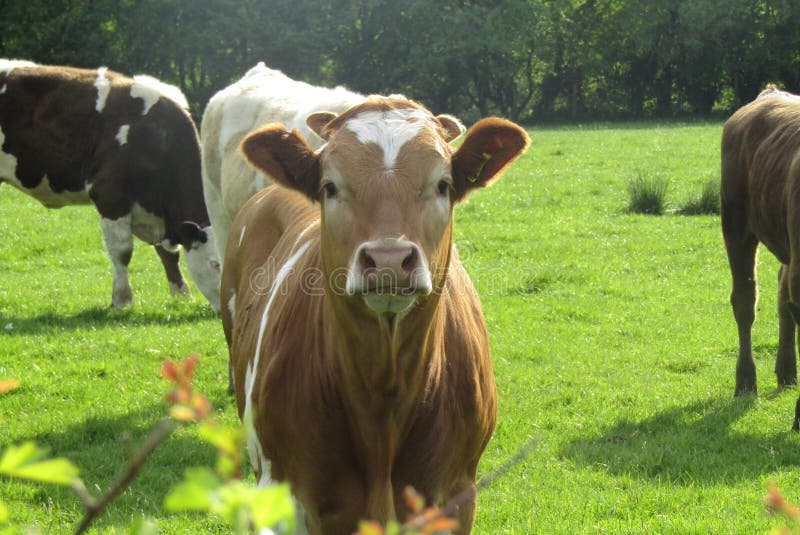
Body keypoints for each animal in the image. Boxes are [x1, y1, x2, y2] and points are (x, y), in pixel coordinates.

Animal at [0, 59, 220, 310]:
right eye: (215, 264)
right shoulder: (110, 197)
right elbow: (122, 252)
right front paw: (121, 300)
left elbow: (168, 253)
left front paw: (181, 294)